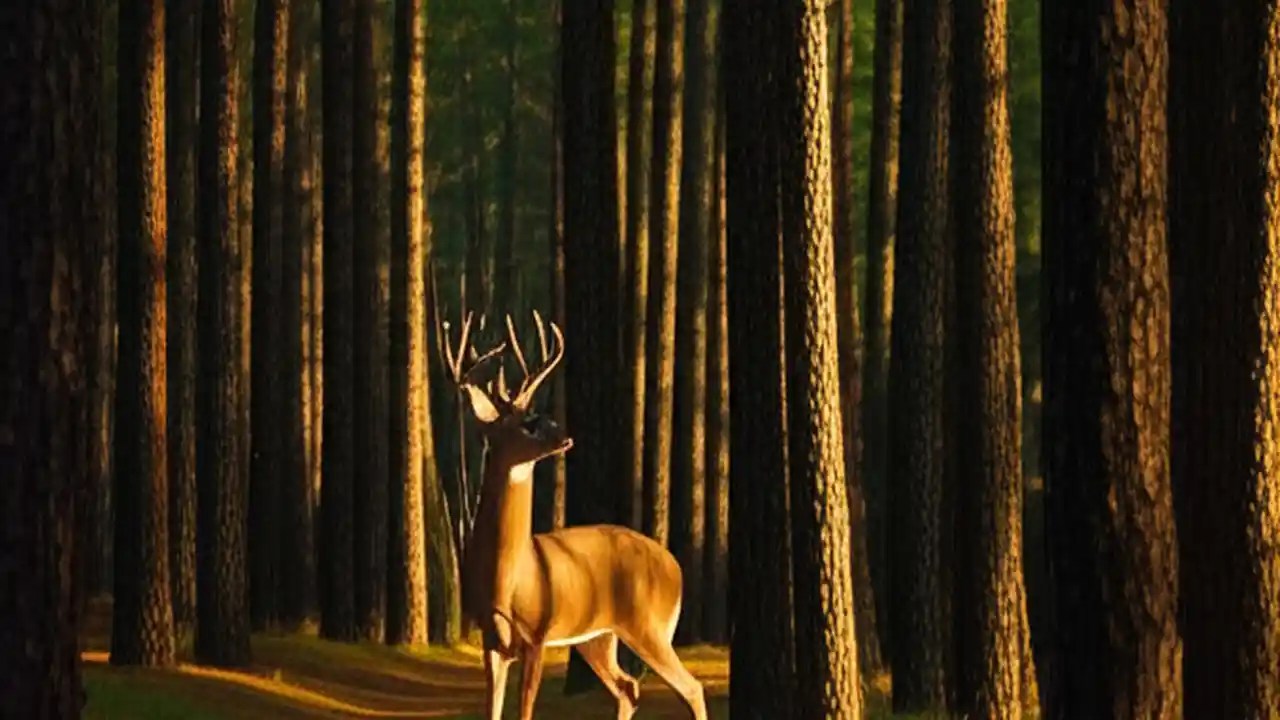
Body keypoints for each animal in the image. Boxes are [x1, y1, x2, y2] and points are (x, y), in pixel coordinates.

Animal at [439, 310, 707, 720]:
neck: (509, 575)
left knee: (690, 687)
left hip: (649, 625)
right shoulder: (491, 640)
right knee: (629, 687)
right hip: (599, 637)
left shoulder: (537, 634)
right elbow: (493, 712)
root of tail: (674, 565)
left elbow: (525, 712)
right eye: (530, 423)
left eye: (544, 415)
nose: (565, 437)